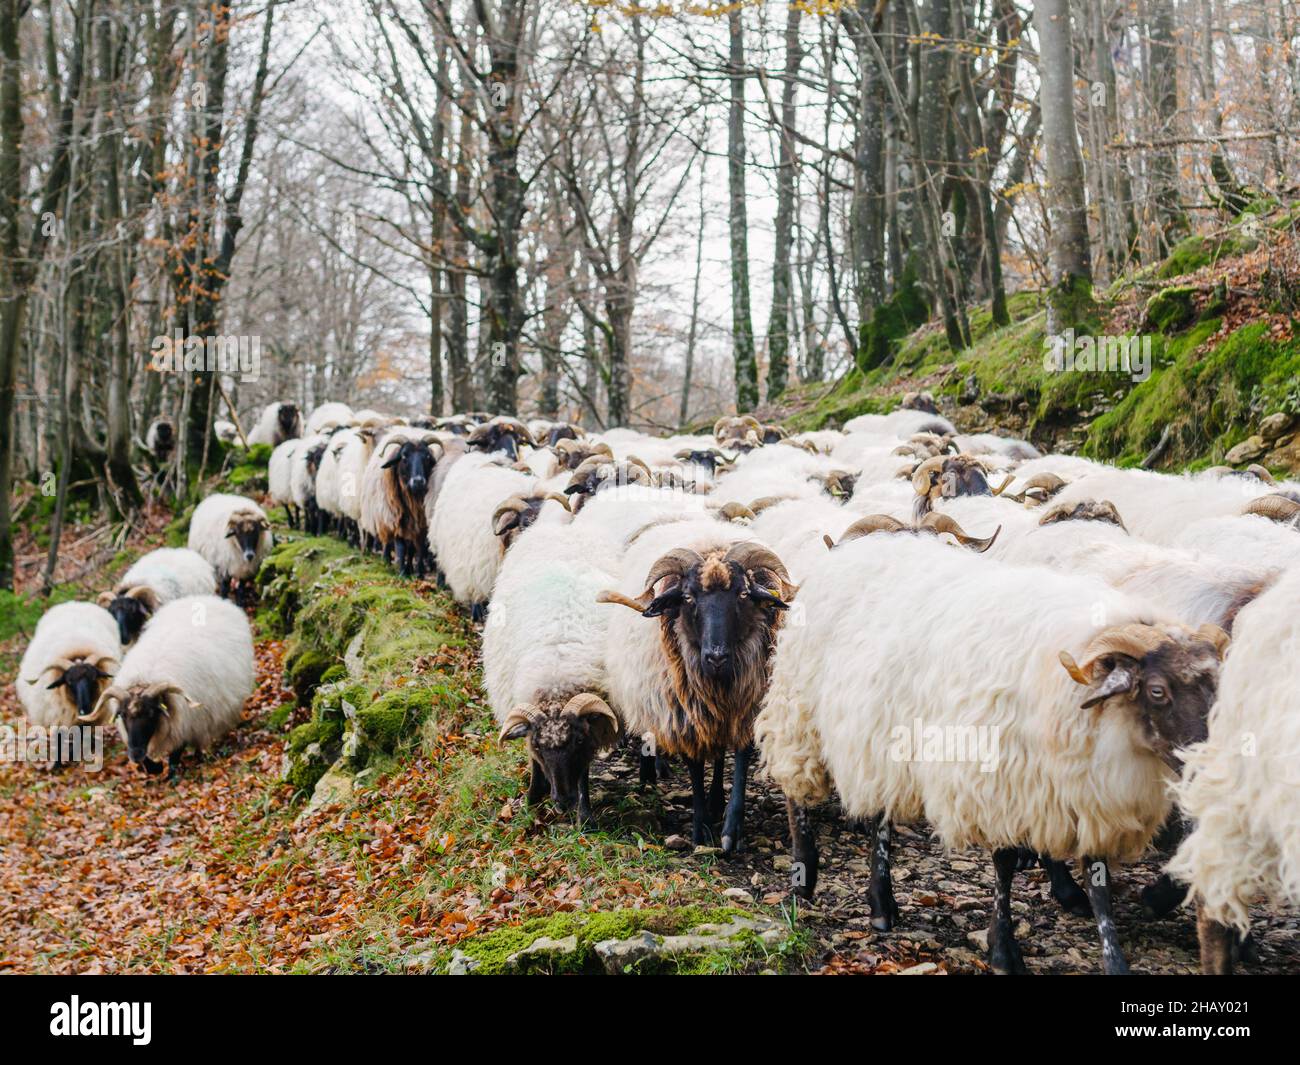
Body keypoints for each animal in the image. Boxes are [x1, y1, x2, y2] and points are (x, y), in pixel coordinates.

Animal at [78, 595, 254, 774]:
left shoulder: (184, 722)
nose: (135, 754)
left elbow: (176, 752)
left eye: (150, 713)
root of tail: (207, 598)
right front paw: (154, 767)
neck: (146, 677)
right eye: (122, 714)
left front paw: (171, 773)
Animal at [484, 521, 624, 820]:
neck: (556, 677)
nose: (562, 801)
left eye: (578, 742)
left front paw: (585, 814)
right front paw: (532, 798)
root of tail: (565, 527)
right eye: (537, 745)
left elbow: (583, 772)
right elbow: (533, 765)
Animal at [598, 521, 795, 852]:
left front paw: (731, 830)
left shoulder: (747, 707)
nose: (716, 657)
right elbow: (694, 768)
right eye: (688, 597)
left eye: (744, 594)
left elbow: (739, 763)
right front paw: (700, 828)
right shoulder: (682, 715)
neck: (718, 682)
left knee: (719, 756)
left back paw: (718, 801)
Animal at [755, 533, 1228, 973]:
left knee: (882, 819)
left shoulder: (1078, 791)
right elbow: (1003, 865)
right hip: (800, 711)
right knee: (796, 788)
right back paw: (805, 875)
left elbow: (1099, 884)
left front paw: (1111, 956)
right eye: (1157, 691)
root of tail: (845, 553)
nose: (1209, 762)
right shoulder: (1000, 782)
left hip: (880, 737)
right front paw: (1003, 950)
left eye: (1214, 686)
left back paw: (881, 905)